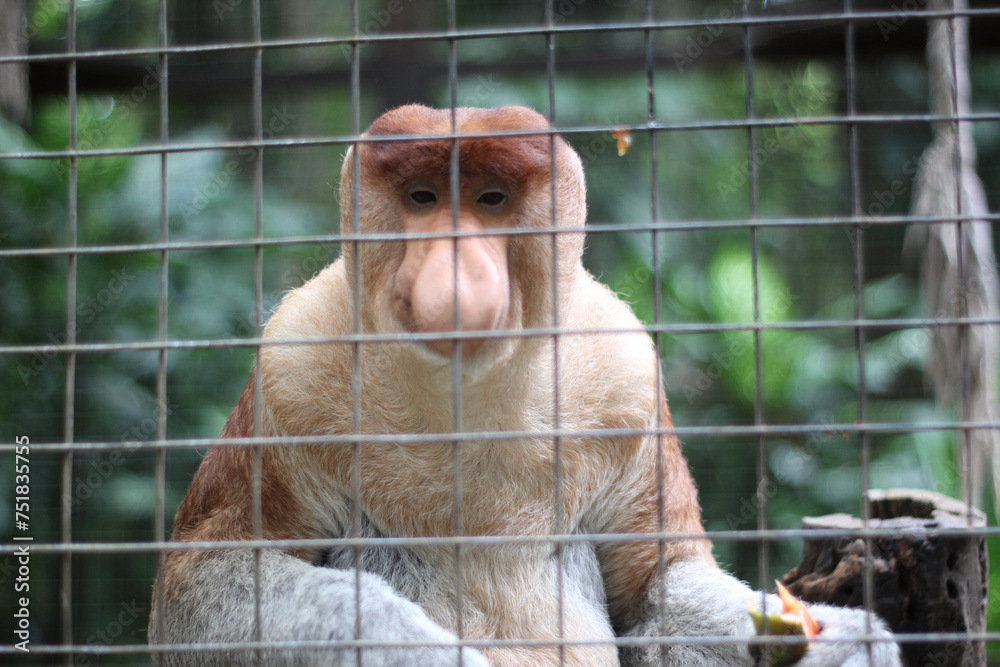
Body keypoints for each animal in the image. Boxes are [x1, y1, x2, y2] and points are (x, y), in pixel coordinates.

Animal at [149, 104, 901, 666]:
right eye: (422, 198)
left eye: (490, 199)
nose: (454, 269)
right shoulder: (295, 365)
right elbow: (198, 593)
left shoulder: (624, 376)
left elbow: (657, 591)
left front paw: (847, 643)